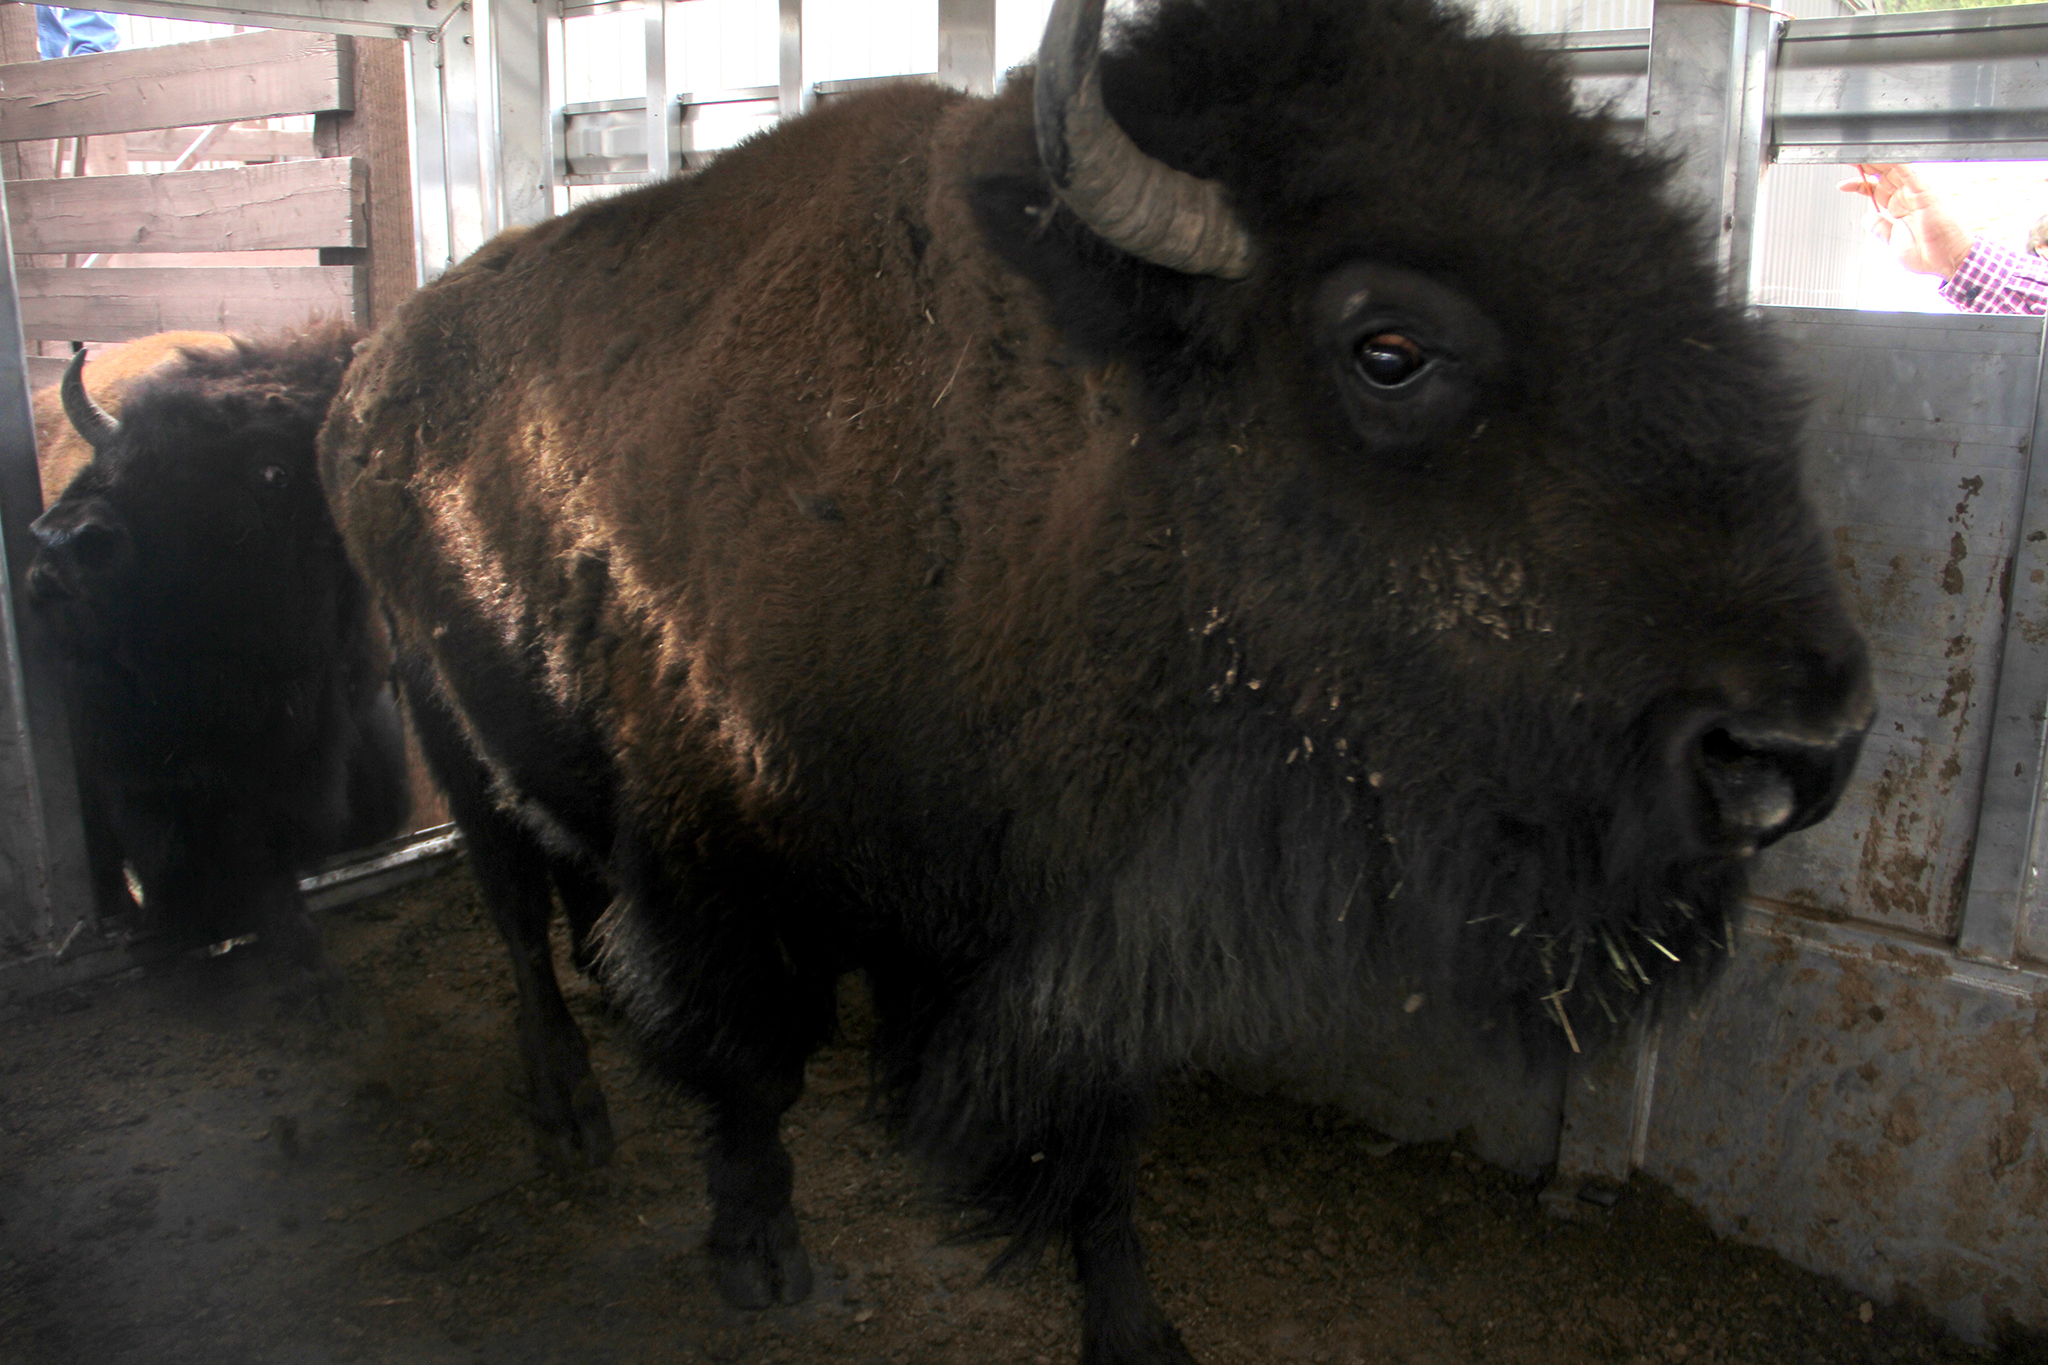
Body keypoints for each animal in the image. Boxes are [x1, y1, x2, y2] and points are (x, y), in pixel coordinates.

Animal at [319, 0, 1874, 1357]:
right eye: (1388, 348)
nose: (1797, 747)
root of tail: (369, 375)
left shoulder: (1085, 924)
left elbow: (1097, 1138)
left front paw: (1136, 1329)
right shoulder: (725, 867)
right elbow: (754, 1063)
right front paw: (761, 1255)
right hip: (446, 723)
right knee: (513, 914)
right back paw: (570, 1116)